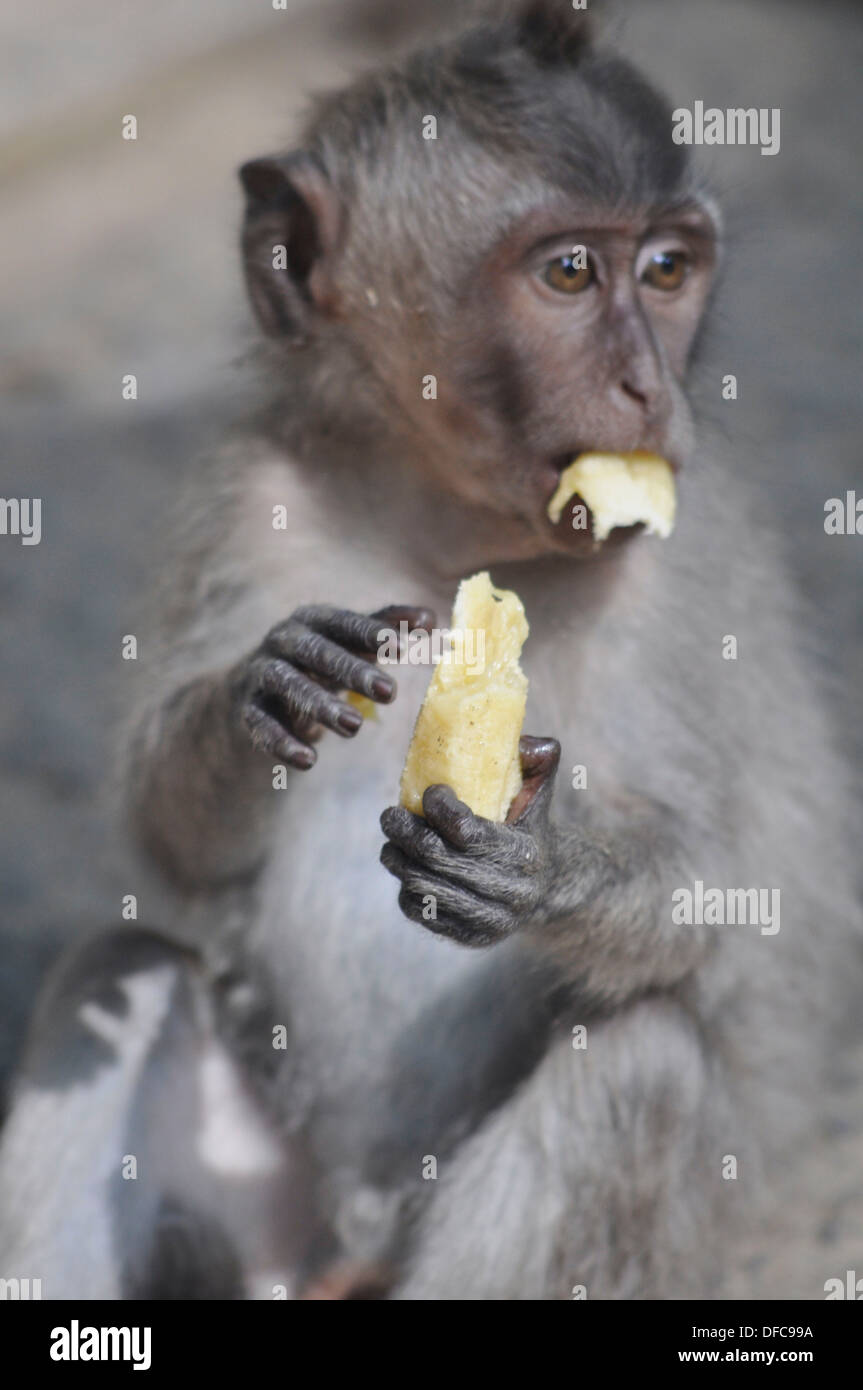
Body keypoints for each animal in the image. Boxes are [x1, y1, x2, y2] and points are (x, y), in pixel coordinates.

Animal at [1, 0, 859, 1300]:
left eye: (665, 269)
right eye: (569, 271)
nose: (647, 386)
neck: (453, 526)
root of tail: (348, 1240)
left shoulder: (691, 565)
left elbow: (747, 909)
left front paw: (545, 866)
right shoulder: (250, 494)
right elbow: (173, 849)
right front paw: (262, 691)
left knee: (641, 1061)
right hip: (268, 1203)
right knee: (124, 969)